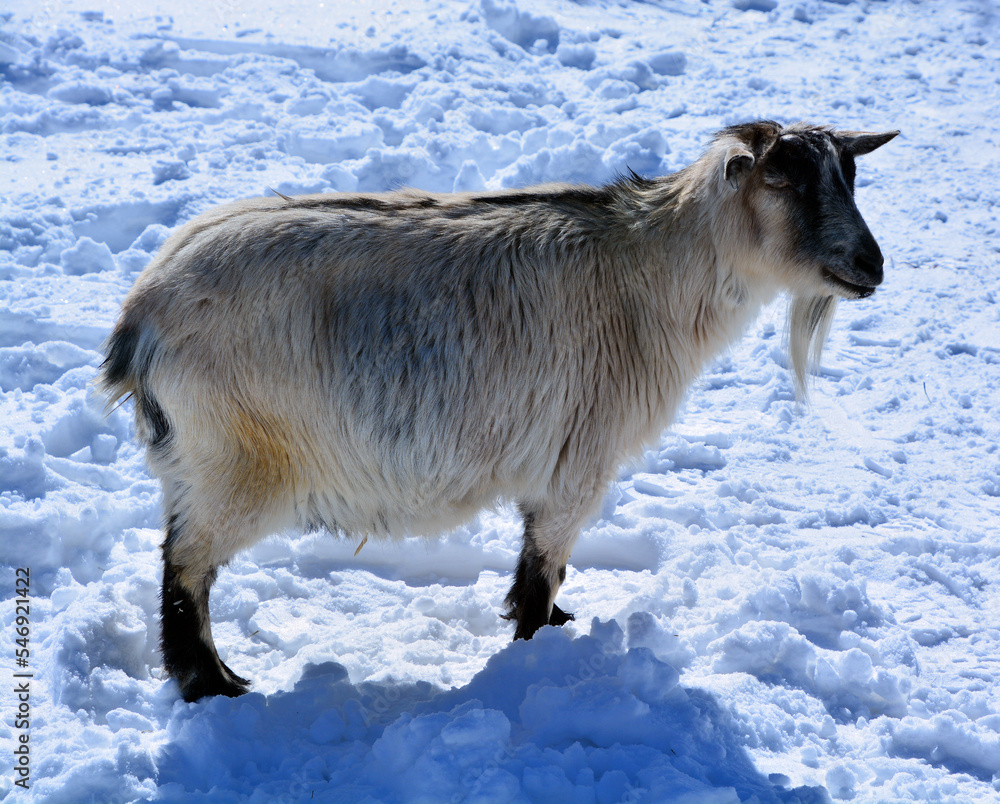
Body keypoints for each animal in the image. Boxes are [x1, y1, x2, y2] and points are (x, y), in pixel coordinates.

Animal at [100, 120, 898, 701]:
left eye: (851, 177)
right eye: (783, 179)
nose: (872, 265)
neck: (652, 271)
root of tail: (142, 318)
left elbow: (548, 569)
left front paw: (560, 625)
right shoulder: (579, 463)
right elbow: (543, 566)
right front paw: (537, 651)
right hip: (235, 464)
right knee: (185, 567)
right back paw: (212, 684)